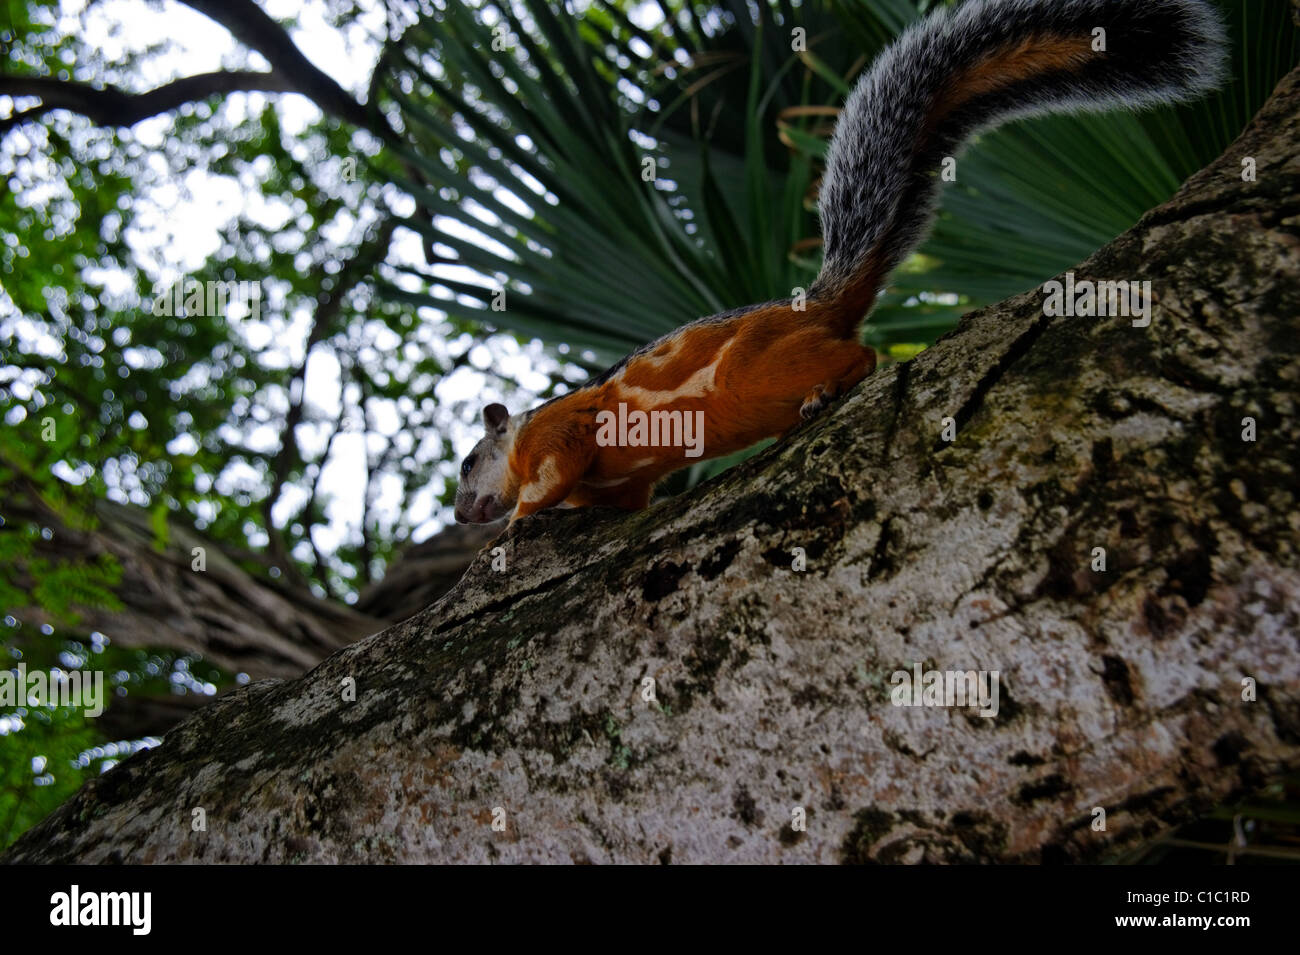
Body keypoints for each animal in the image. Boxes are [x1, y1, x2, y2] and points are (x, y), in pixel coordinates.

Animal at [455, 0, 1226, 525]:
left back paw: (831, 388)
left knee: (861, 360)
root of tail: (819, 306)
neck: (520, 440)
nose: (463, 515)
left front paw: (515, 521)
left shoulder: (563, 432)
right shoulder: (623, 482)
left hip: (761, 368)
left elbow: (551, 476)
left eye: (467, 462)